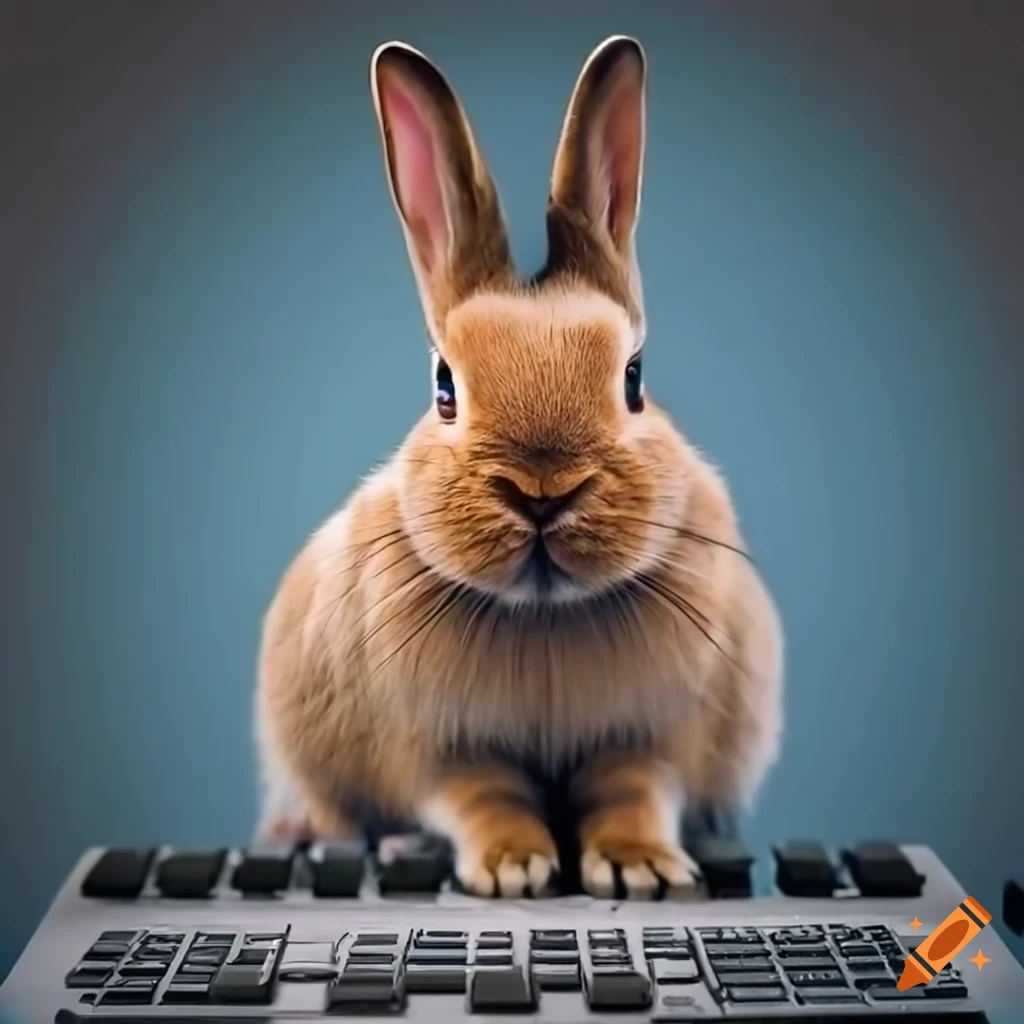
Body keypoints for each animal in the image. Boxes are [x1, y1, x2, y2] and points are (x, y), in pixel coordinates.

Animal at [254, 34, 783, 900]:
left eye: (634, 379)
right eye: (444, 387)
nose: (542, 490)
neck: (544, 618)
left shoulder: (650, 737)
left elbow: (632, 792)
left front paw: (640, 868)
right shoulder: (443, 750)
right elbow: (483, 797)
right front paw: (512, 867)